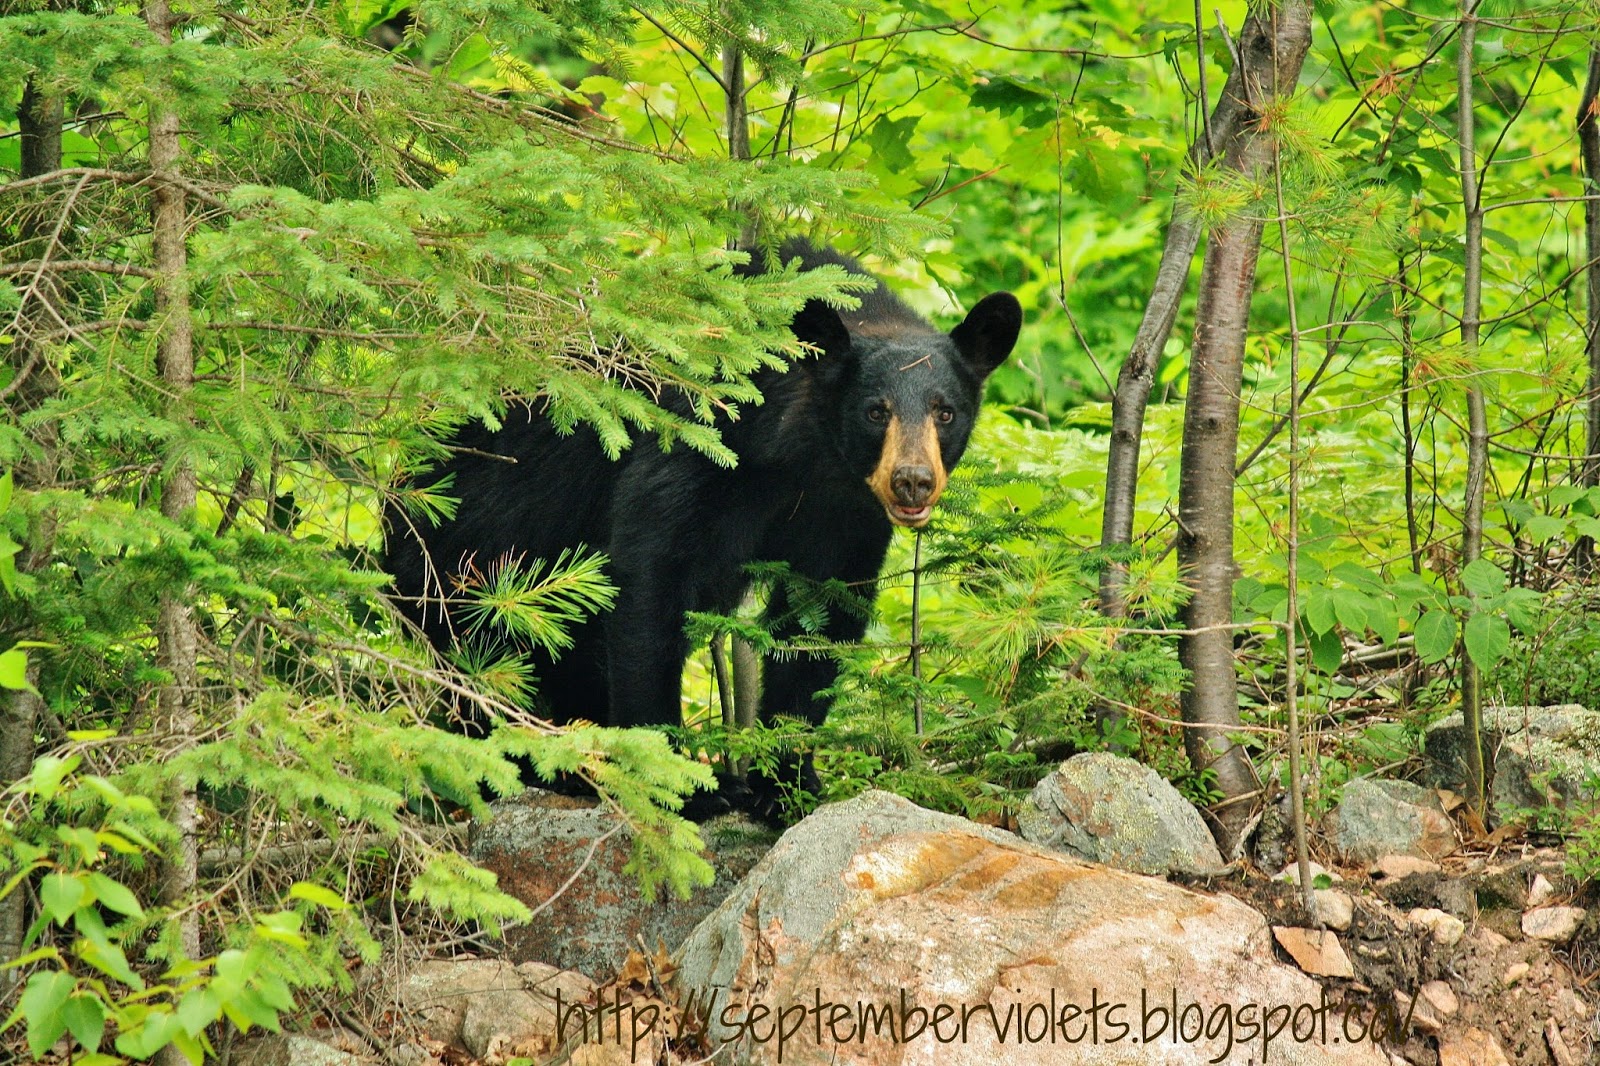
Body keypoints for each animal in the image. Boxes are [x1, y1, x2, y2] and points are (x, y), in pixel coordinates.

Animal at [384, 241, 1021, 818]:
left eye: (945, 411)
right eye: (875, 411)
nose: (912, 481)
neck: (801, 458)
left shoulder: (845, 514)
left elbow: (819, 618)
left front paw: (786, 783)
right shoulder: (696, 445)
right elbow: (652, 585)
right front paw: (684, 784)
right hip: (469, 556)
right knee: (490, 658)